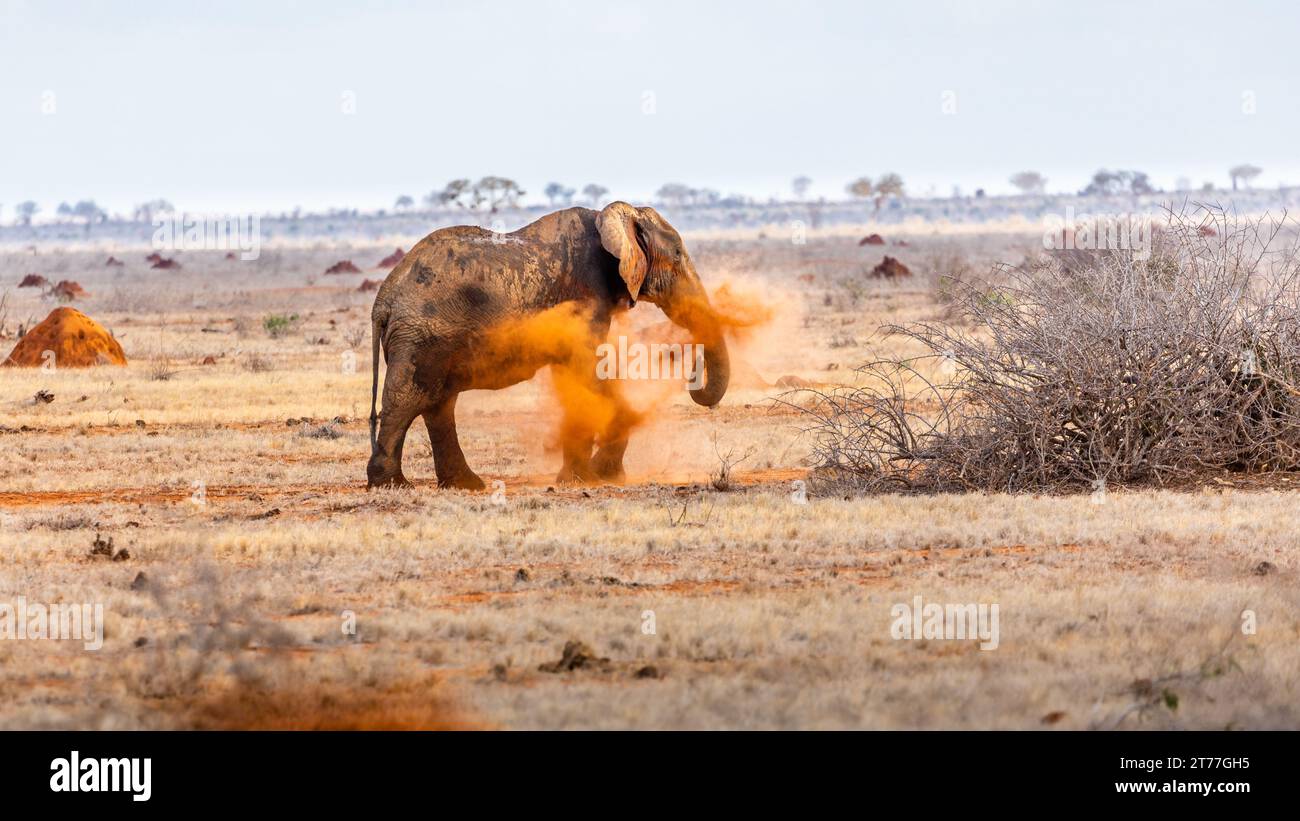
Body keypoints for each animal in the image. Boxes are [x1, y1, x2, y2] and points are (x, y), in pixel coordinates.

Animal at [366, 201, 730, 490]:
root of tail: (384, 299)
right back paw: (392, 485)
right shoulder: (586, 297)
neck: (611, 217)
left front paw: (593, 475)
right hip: (421, 335)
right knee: (409, 398)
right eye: (678, 255)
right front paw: (587, 478)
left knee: (439, 403)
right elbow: (587, 371)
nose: (692, 376)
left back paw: (465, 485)